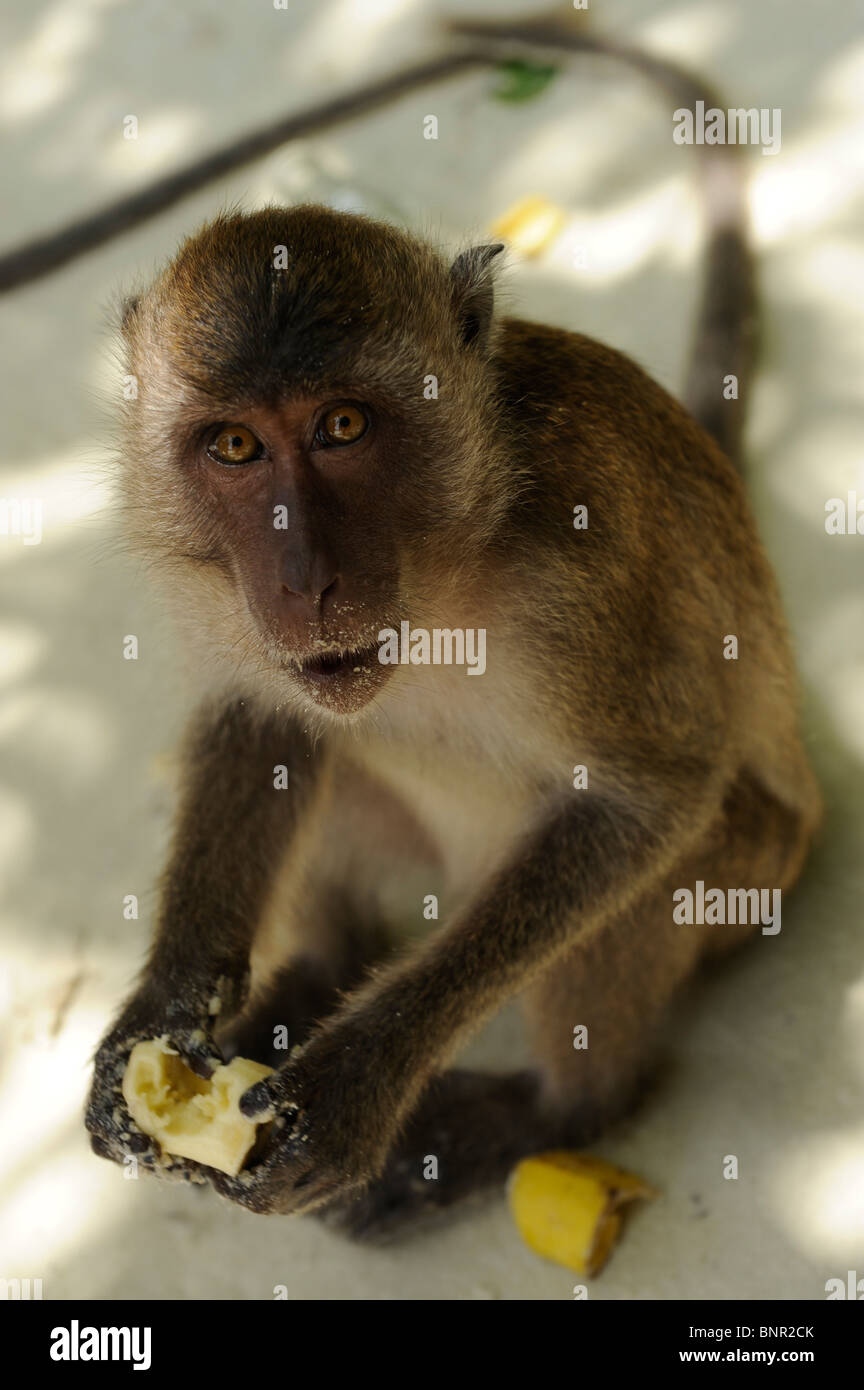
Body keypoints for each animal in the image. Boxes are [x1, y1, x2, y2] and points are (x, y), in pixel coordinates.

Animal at [81, 37, 821, 1241]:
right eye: (235, 446)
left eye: (342, 426)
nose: (304, 579)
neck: (447, 564)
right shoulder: (224, 599)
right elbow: (258, 720)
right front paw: (162, 1012)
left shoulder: (586, 572)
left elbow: (647, 802)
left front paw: (358, 1083)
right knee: (327, 755)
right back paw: (313, 975)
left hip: (752, 876)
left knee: (663, 865)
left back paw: (547, 1108)